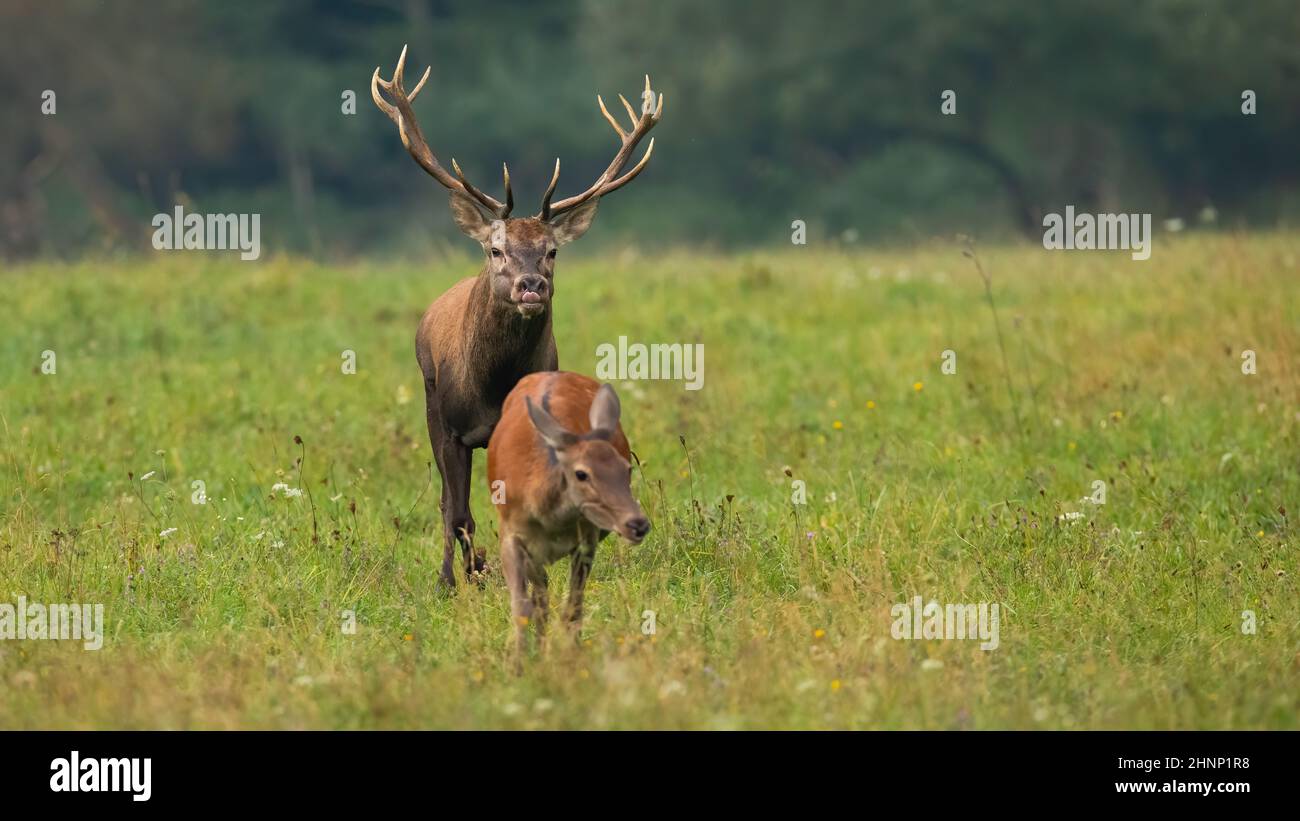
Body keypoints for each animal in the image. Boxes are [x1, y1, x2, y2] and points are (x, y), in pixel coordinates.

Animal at [370, 46, 662, 588]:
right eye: (496, 248)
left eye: (551, 251)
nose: (531, 286)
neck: (492, 388)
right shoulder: (449, 428)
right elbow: (456, 511)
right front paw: (463, 576)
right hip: (429, 401)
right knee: (448, 503)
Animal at [486, 372, 649, 652]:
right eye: (581, 474)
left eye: (627, 468)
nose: (638, 524)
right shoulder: (510, 532)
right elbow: (523, 605)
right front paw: (519, 658)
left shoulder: (587, 538)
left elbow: (573, 603)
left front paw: (568, 650)